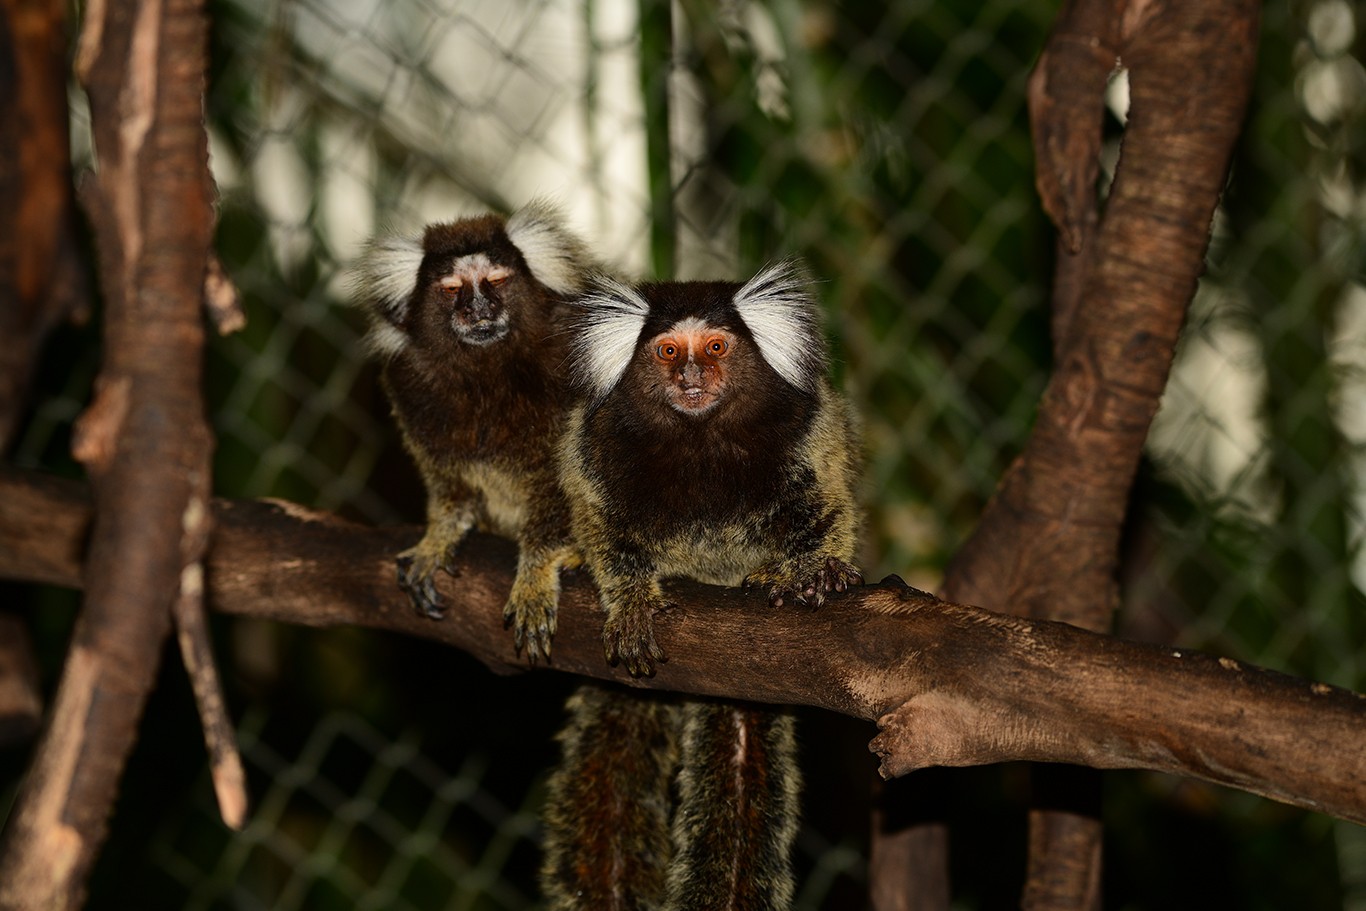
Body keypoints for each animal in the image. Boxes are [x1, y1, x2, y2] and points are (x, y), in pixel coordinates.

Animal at [352, 201, 596, 662]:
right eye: (452, 289)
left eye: (495, 282)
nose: (480, 310)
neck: (486, 374)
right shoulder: (413, 391)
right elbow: (451, 488)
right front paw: (438, 537)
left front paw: (537, 572)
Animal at [541, 261, 863, 911]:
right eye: (668, 351)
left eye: (715, 347)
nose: (691, 376)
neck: (699, 437)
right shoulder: (593, 450)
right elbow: (599, 524)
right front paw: (630, 601)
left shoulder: (810, 430)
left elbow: (826, 500)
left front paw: (816, 567)